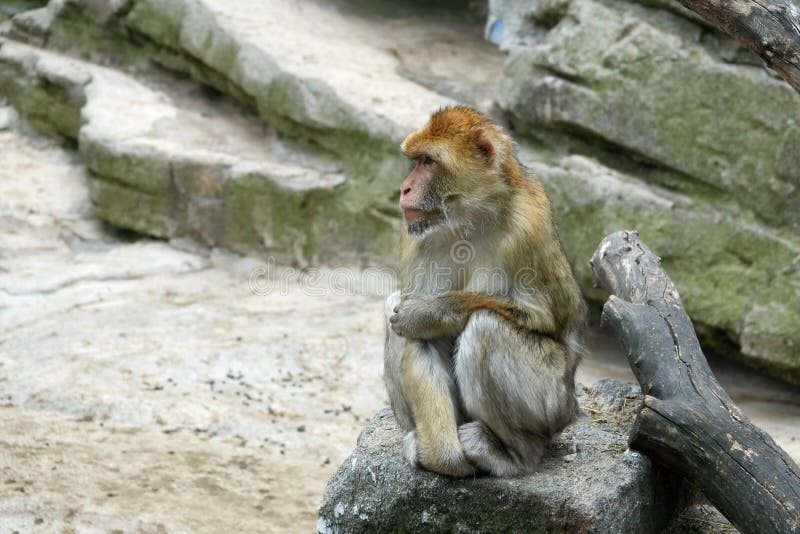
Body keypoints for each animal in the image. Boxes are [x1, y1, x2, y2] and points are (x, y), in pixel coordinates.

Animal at [383, 106, 586, 477]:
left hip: (552, 404)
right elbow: (415, 335)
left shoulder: (528, 226)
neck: (470, 215)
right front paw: (444, 459)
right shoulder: (416, 234)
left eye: (427, 161)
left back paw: (514, 455)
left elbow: (541, 318)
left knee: (486, 326)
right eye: (415, 161)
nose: (404, 189)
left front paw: (430, 312)